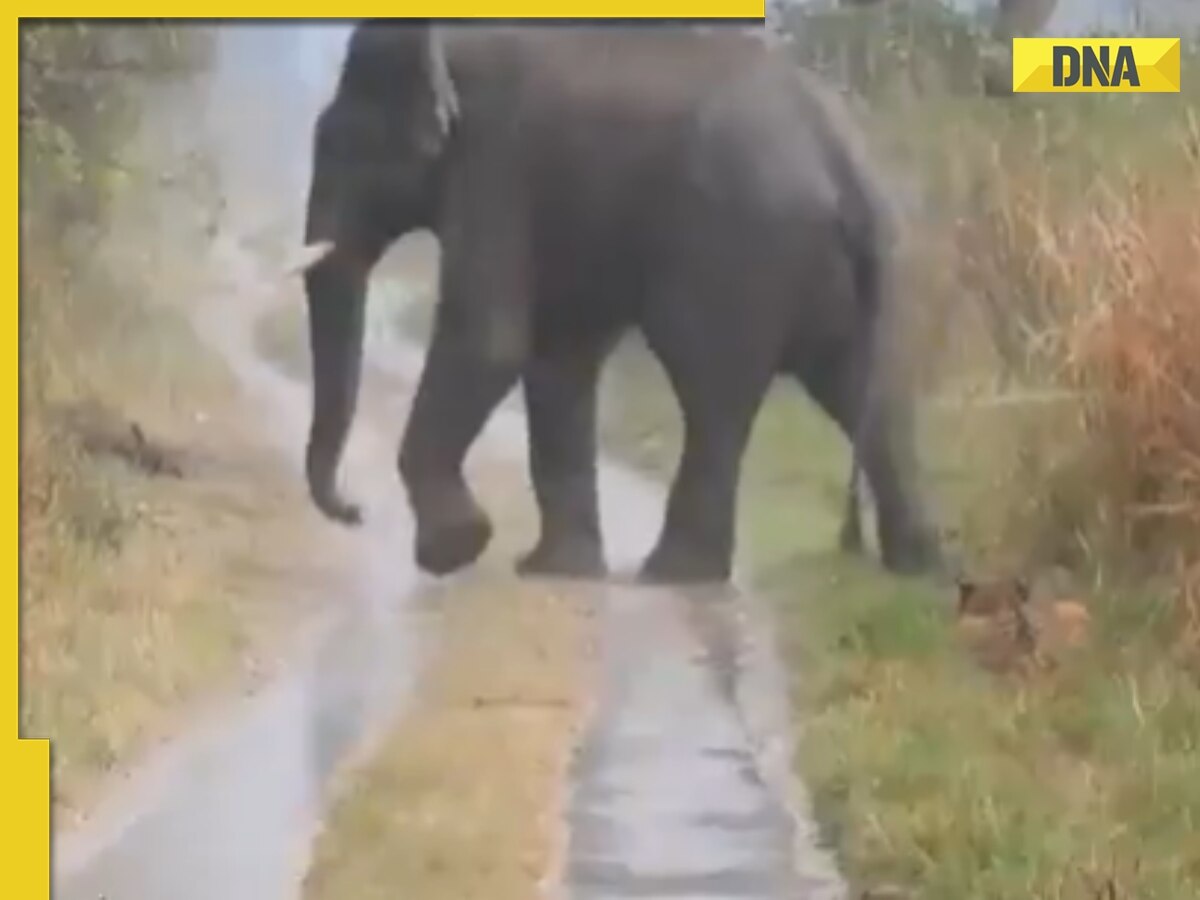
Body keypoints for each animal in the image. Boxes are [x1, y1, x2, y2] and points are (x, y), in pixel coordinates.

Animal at [298, 20, 941, 584]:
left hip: (738, 254)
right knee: (863, 390)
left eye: (346, 144)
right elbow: (557, 357)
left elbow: (489, 340)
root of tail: (849, 166)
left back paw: (673, 574)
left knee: (711, 394)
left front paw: (454, 551)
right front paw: (553, 570)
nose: (356, 510)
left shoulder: (497, 162)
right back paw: (918, 569)